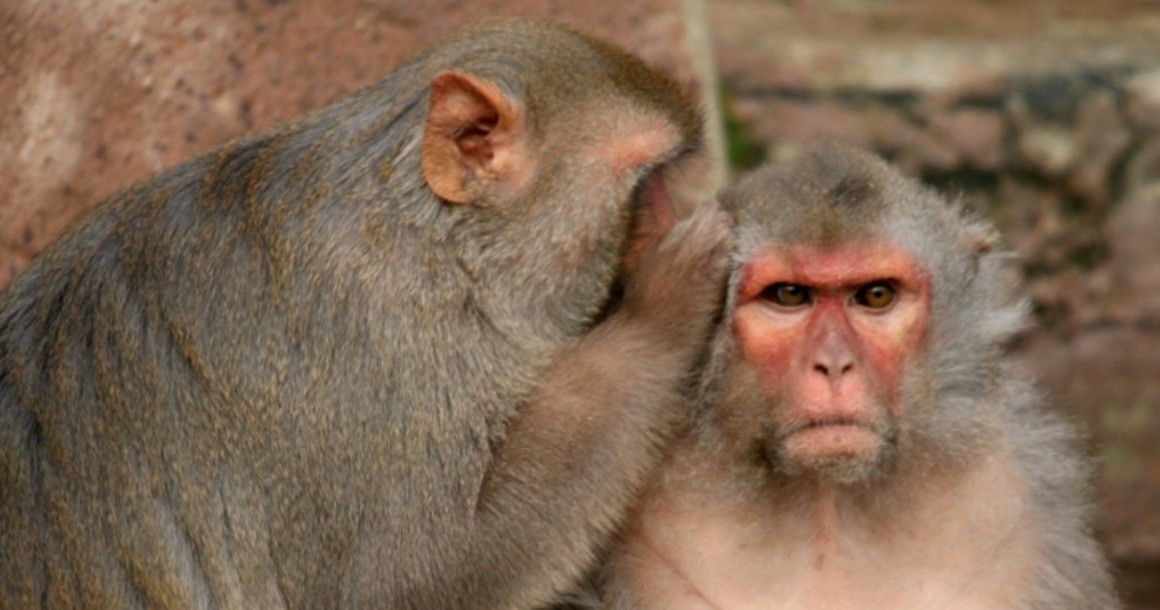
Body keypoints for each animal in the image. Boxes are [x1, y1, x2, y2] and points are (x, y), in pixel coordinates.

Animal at [0, 20, 733, 610]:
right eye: (648, 186)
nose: (678, 213)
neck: (443, 247)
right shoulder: (379, 354)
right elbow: (416, 575)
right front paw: (662, 310)